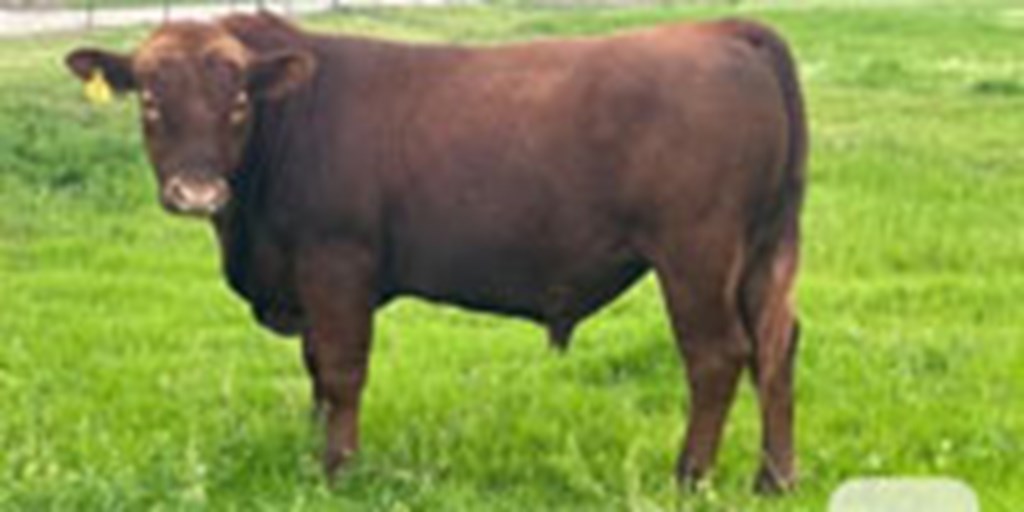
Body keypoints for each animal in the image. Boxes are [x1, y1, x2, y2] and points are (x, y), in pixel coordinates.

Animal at [65, 12, 806, 493]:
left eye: (240, 100)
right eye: (150, 99)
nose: (196, 191)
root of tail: (721, 29)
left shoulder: (337, 261)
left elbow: (341, 368)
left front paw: (338, 470)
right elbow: (314, 368)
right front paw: (312, 449)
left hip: (696, 253)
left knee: (717, 357)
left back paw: (690, 476)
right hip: (763, 252)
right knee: (776, 346)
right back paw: (773, 478)